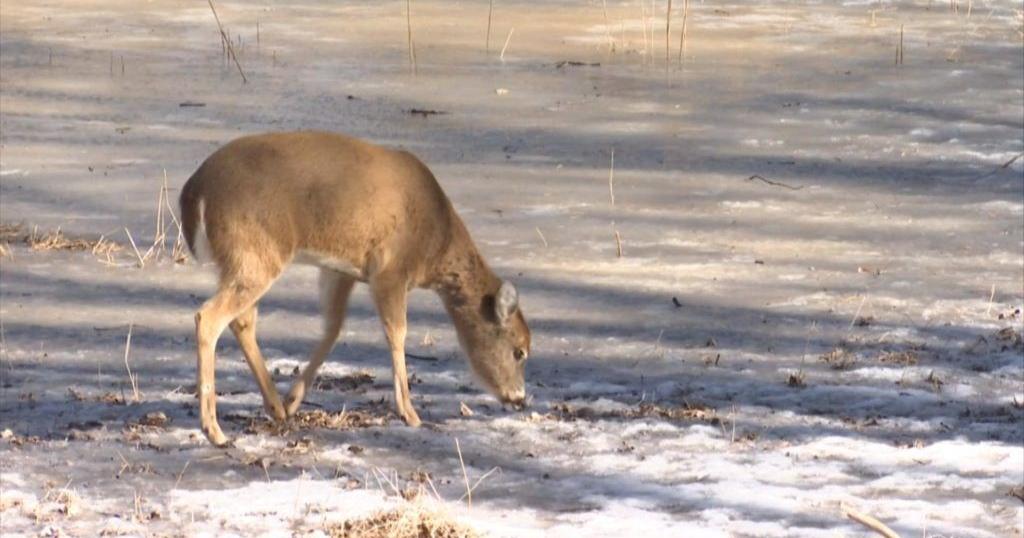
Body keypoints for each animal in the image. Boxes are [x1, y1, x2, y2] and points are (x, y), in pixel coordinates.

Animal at [179, 131, 531, 446]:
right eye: (519, 351)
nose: (520, 398)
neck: (436, 242)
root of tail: (193, 193)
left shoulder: (341, 270)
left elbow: (333, 327)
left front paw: (294, 400)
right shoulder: (390, 270)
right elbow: (397, 333)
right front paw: (409, 413)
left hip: (243, 260)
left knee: (242, 320)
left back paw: (275, 406)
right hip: (254, 253)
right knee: (208, 317)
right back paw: (215, 431)